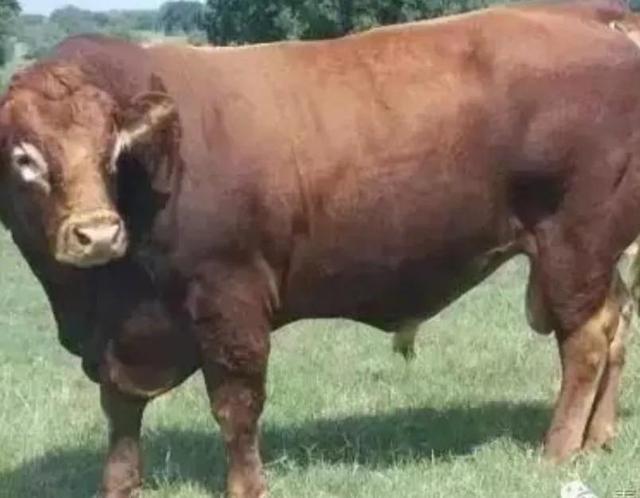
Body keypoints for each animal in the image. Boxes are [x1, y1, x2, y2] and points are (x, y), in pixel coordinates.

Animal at [1, 1, 640, 497]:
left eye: (110, 149)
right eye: (23, 157)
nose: (97, 233)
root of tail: (591, 19)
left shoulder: (229, 297)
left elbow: (236, 405)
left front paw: (246, 486)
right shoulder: (118, 332)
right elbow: (120, 409)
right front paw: (118, 485)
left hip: (574, 242)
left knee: (585, 340)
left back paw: (559, 448)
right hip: (599, 250)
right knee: (617, 324)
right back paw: (599, 439)